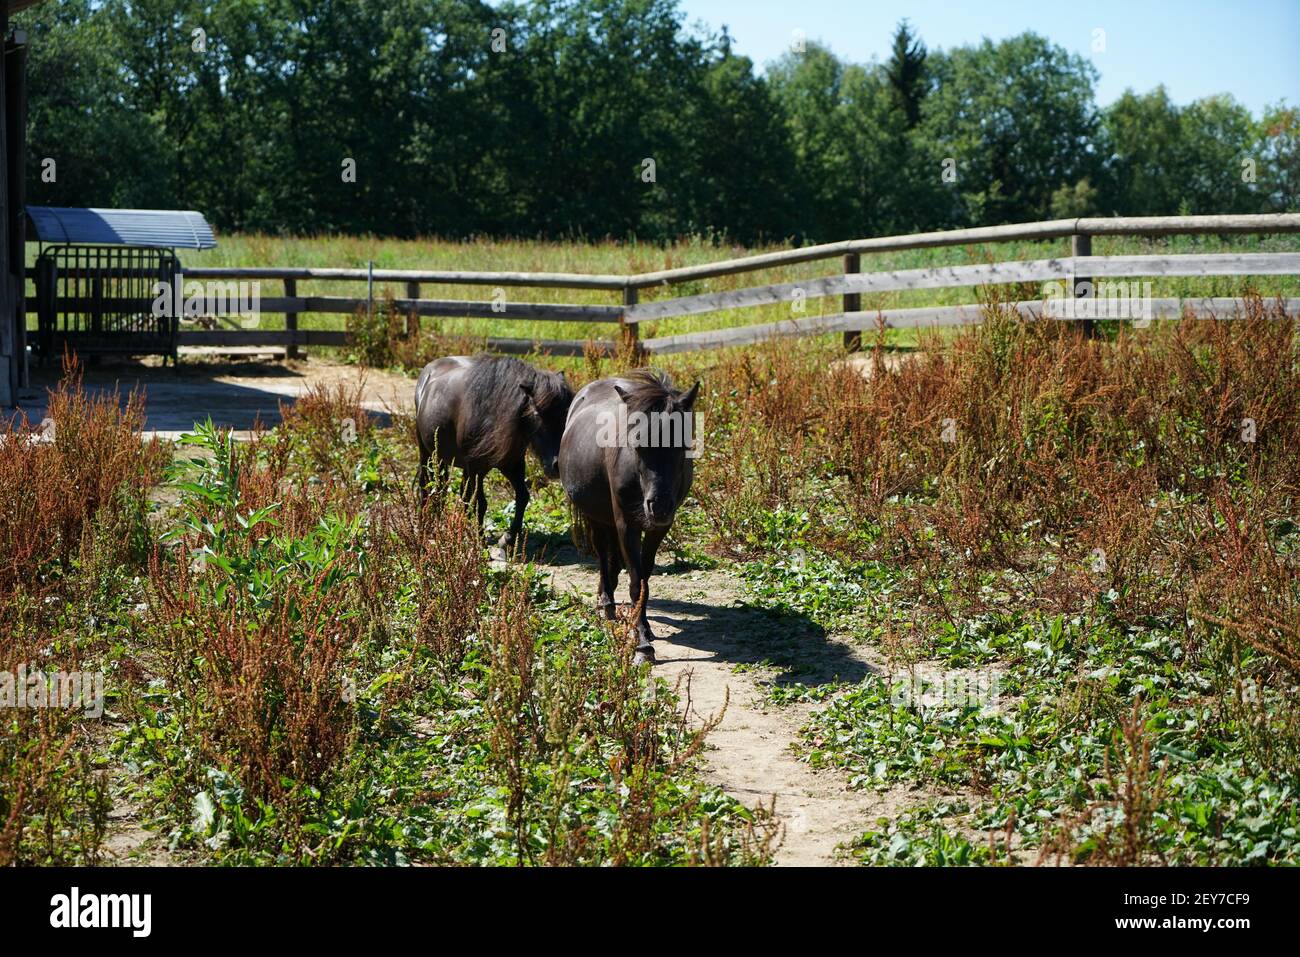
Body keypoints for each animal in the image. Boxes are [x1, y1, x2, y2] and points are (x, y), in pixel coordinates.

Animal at [414, 354, 573, 551]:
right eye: (537, 414)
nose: (558, 465)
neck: (493, 416)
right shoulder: (475, 467)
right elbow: (480, 503)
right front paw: (481, 542)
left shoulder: (511, 464)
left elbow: (522, 497)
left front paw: (508, 538)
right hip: (429, 455)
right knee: (427, 488)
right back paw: (425, 527)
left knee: (458, 493)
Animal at [559, 369, 700, 664]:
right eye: (637, 446)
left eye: (682, 446)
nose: (659, 506)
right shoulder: (627, 524)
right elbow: (636, 581)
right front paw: (642, 643)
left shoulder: (659, 527)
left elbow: (644, 577)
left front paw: (643, 627)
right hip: (596, 517)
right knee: (603, 555)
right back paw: (607, 603)